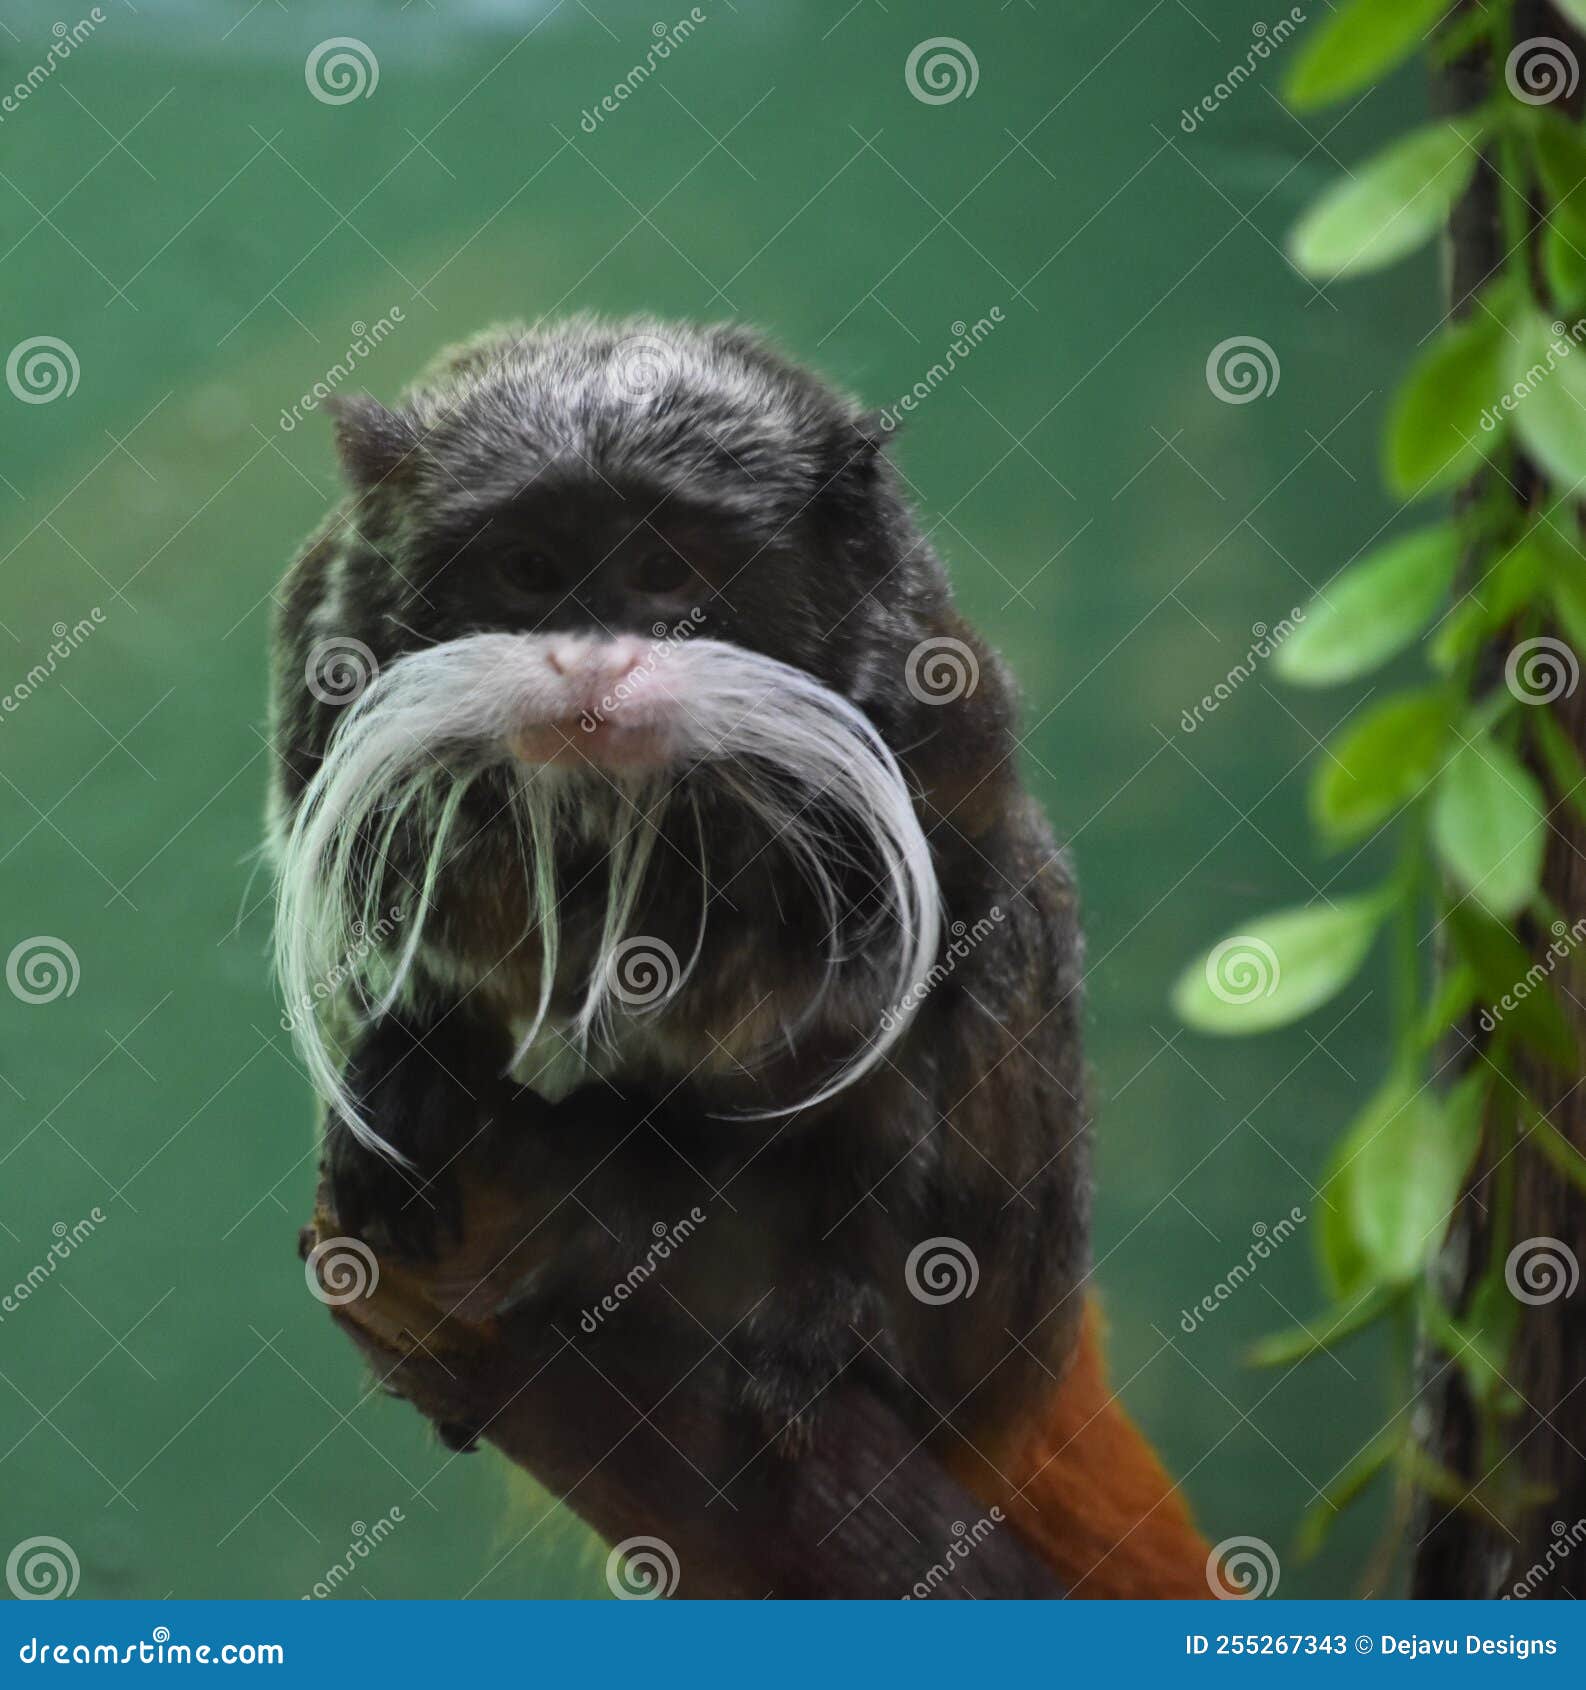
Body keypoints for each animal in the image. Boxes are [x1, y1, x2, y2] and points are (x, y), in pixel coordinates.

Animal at [267, 316, 1211, 1598]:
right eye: (528, 569)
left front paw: (841, 1299)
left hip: (1009, 1310)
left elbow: (935, 956)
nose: (592, 662)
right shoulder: (326, 677)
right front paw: (409, 1069)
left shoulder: (930, 704)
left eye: (665, 575)